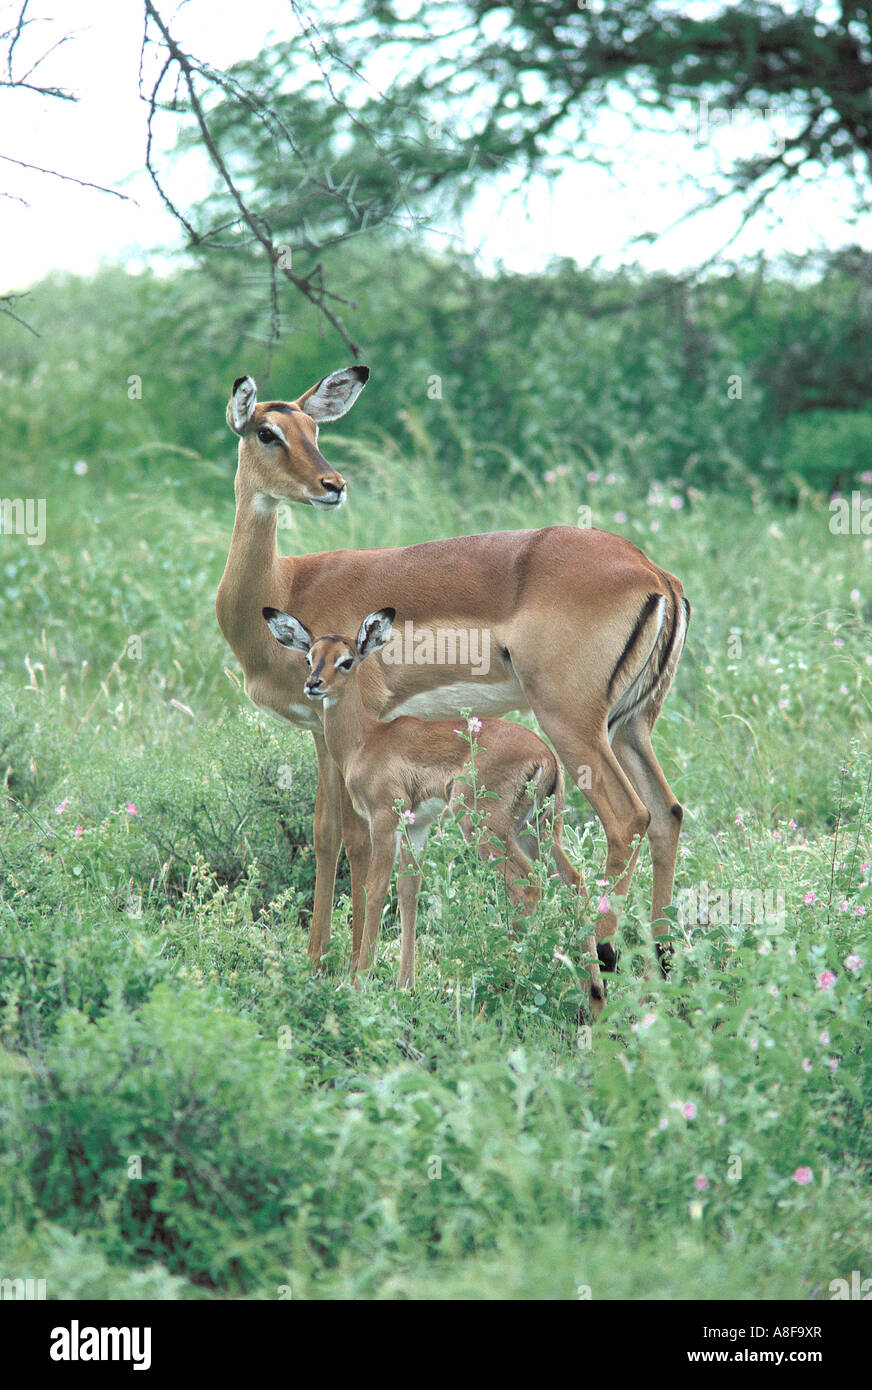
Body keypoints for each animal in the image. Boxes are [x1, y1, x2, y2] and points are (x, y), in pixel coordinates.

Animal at [263, 605, 606, 1008]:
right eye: (309, 657)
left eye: (346, 661)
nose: (313, 684)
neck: (365, 741)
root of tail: (545, 754)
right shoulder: (416, 826)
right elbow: (409, 890)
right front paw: (405, 985)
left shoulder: (383, 819)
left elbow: (374, 888)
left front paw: (358, 983)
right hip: (536, 830)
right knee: (574, 883)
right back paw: (592, 995)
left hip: (484, 829)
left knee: (526, 888)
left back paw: (512, 982)